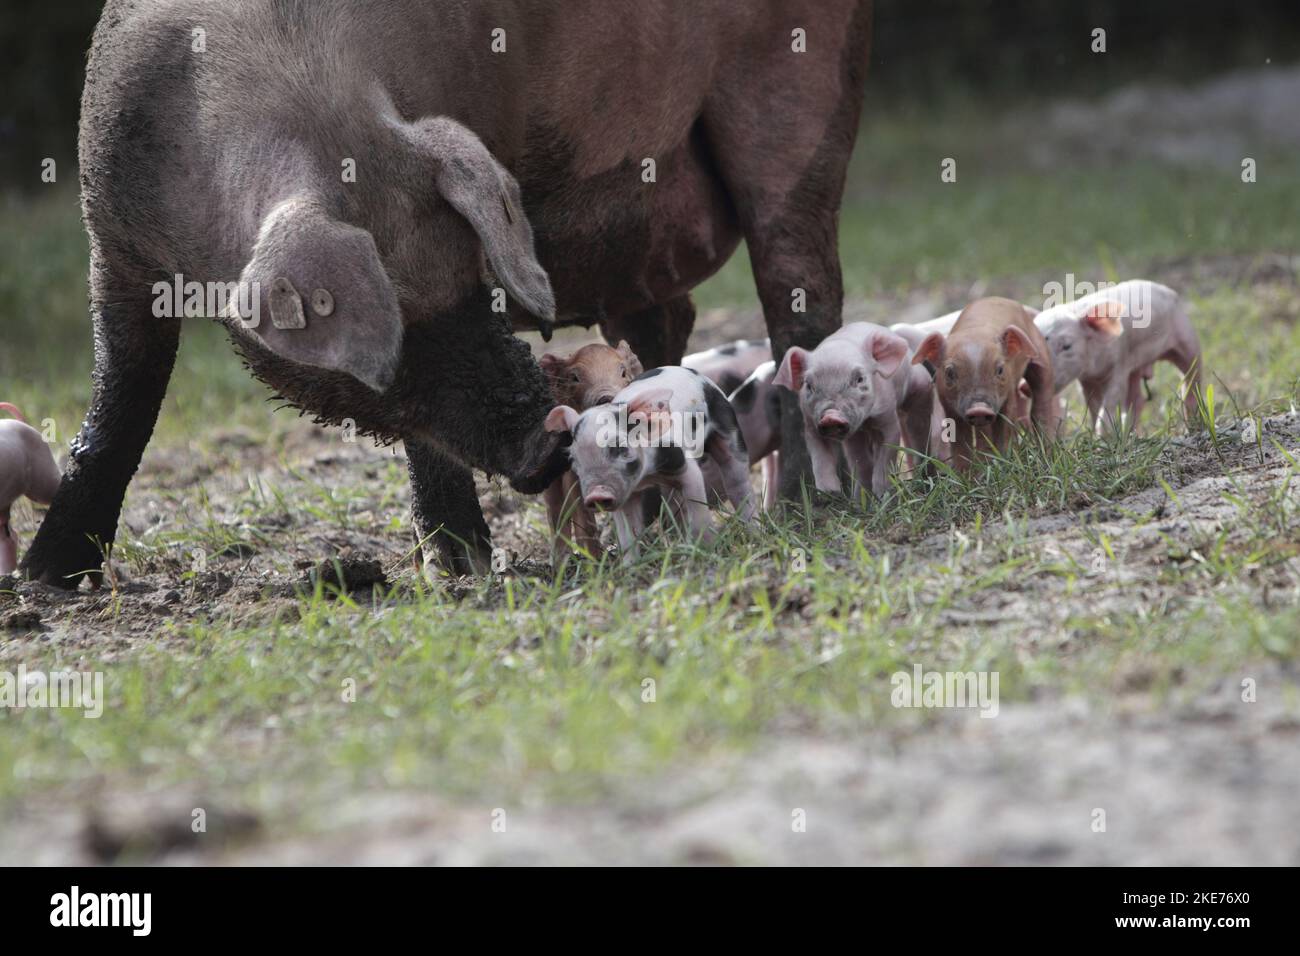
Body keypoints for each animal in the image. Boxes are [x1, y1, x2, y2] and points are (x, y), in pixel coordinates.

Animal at [539, 341, 643, 561]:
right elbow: (583, 518)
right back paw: (562, 562)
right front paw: (596, 563)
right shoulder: (573, 475)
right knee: (557, 515)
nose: (605, 397)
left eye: (623, 371)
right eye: (574, 377)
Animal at [544, 367, 754, 562]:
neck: (648, 475)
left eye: (620, 447)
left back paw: (753, 532)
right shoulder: (626, 494)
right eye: (573, 459)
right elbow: (628, 534)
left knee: (737, 480)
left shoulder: (684, 465)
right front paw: (629, 567)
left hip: (728, 428)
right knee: (676, 507)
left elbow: (698, 511)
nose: (597, 494)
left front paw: (705, 551)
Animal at [772, 323, 935, 497]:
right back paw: (858, 498)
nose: (831, 416)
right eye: (809, 385)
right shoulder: (810, 422)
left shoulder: (887, 416)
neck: (865, 420)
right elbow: (822, 455)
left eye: (859, 379)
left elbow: (886, 454)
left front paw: (882, 494)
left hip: (921, 387)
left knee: (918, 430)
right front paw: (830, 492)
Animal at [911, 298, 1058, 473]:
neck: (975, 333)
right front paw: (966, 475)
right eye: (949, 373)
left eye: (1000, 369)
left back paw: (1047, 454)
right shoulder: (948, 406)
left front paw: (1004, 464)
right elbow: (962, 442)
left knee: (1041, 401)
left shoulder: (1008, 394)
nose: (979, 408)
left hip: (1040, 354)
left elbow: (1005, 430)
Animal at [1033, 280, 1202, 430]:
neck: (1095, 368)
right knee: (1137, 400)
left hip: (1188, 338)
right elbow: (1093, 406)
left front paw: (1104, 437)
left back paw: (1192, 426)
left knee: (1192, 379)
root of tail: (1169, 291)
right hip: (1135, 368)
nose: (1029, 385)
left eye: (1066, 346)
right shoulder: (1086, 379)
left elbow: (1111, 400)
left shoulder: (1119, 364)